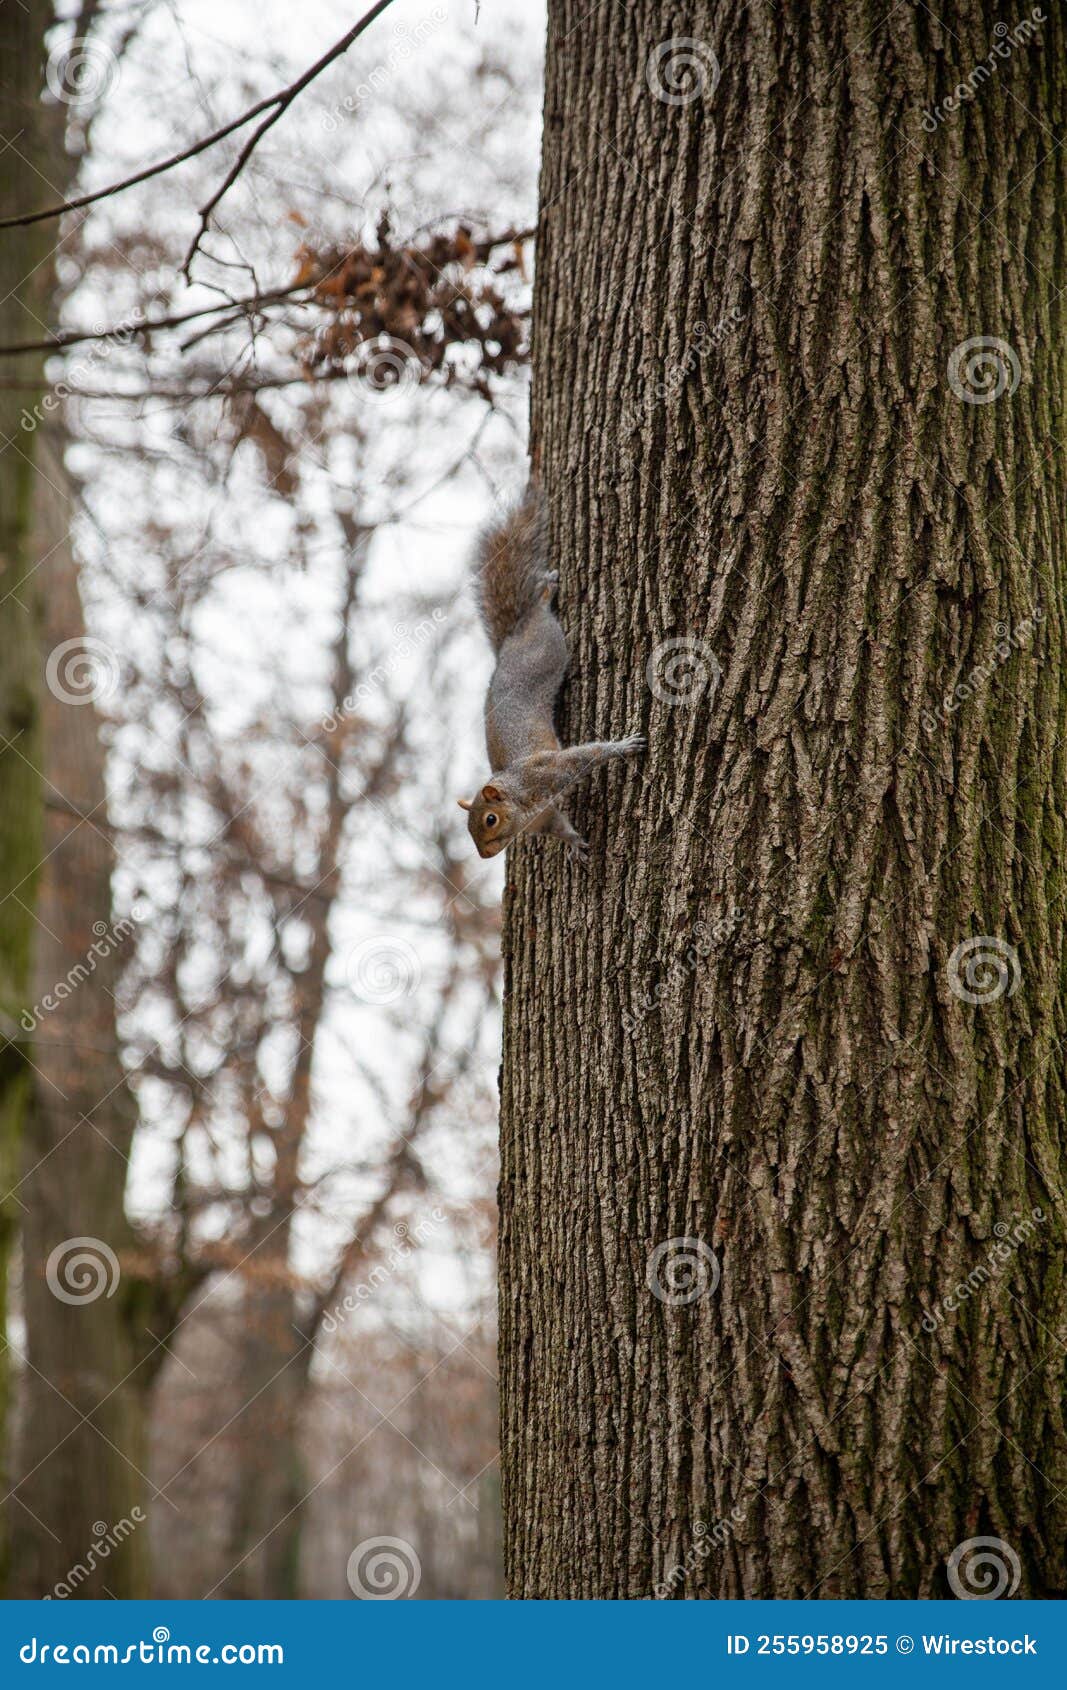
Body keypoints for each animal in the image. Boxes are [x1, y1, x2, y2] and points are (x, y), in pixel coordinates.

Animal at [457, 488, 645, 860]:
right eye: (469, 830)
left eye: (489, 820)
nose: (484, 855)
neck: (521, 801)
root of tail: (514, 636)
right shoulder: (542, 817)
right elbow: (558, 826)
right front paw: (573, 843)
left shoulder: (547, 772)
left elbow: (585, 756)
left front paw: (622, 746)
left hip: (546, 647)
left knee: (541, 612)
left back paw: (545, 592)